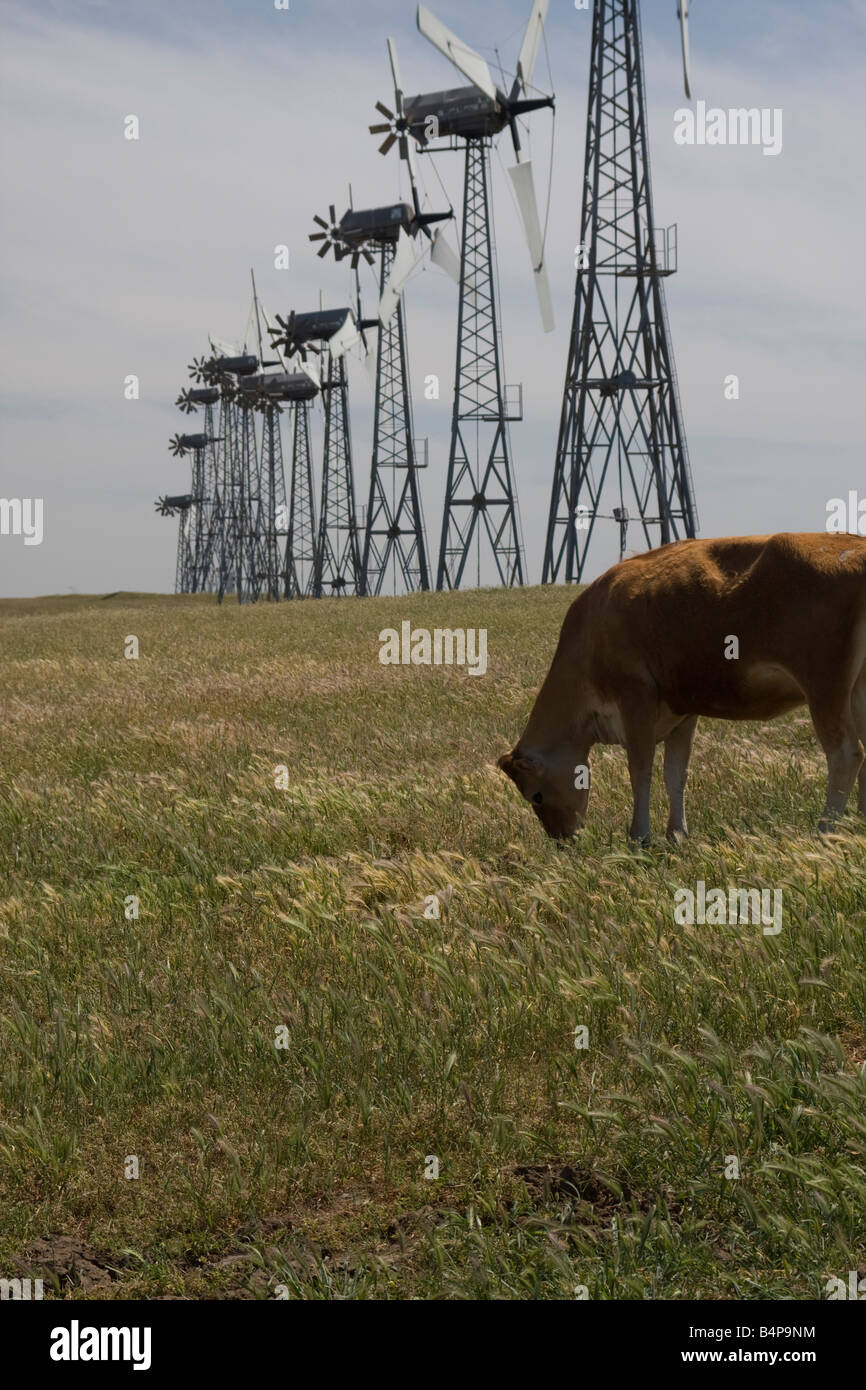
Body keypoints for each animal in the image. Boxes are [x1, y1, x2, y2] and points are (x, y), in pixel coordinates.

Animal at [499, 533, 866, 842]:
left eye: (537, 795)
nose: (563, 839)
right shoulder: (682, 712)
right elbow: (675, 773)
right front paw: (677, 835)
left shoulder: (636, 700)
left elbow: (641, 771)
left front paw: (639, 837)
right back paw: (860, 824)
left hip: (825, 690)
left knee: (846, 754)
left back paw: (824, 832)